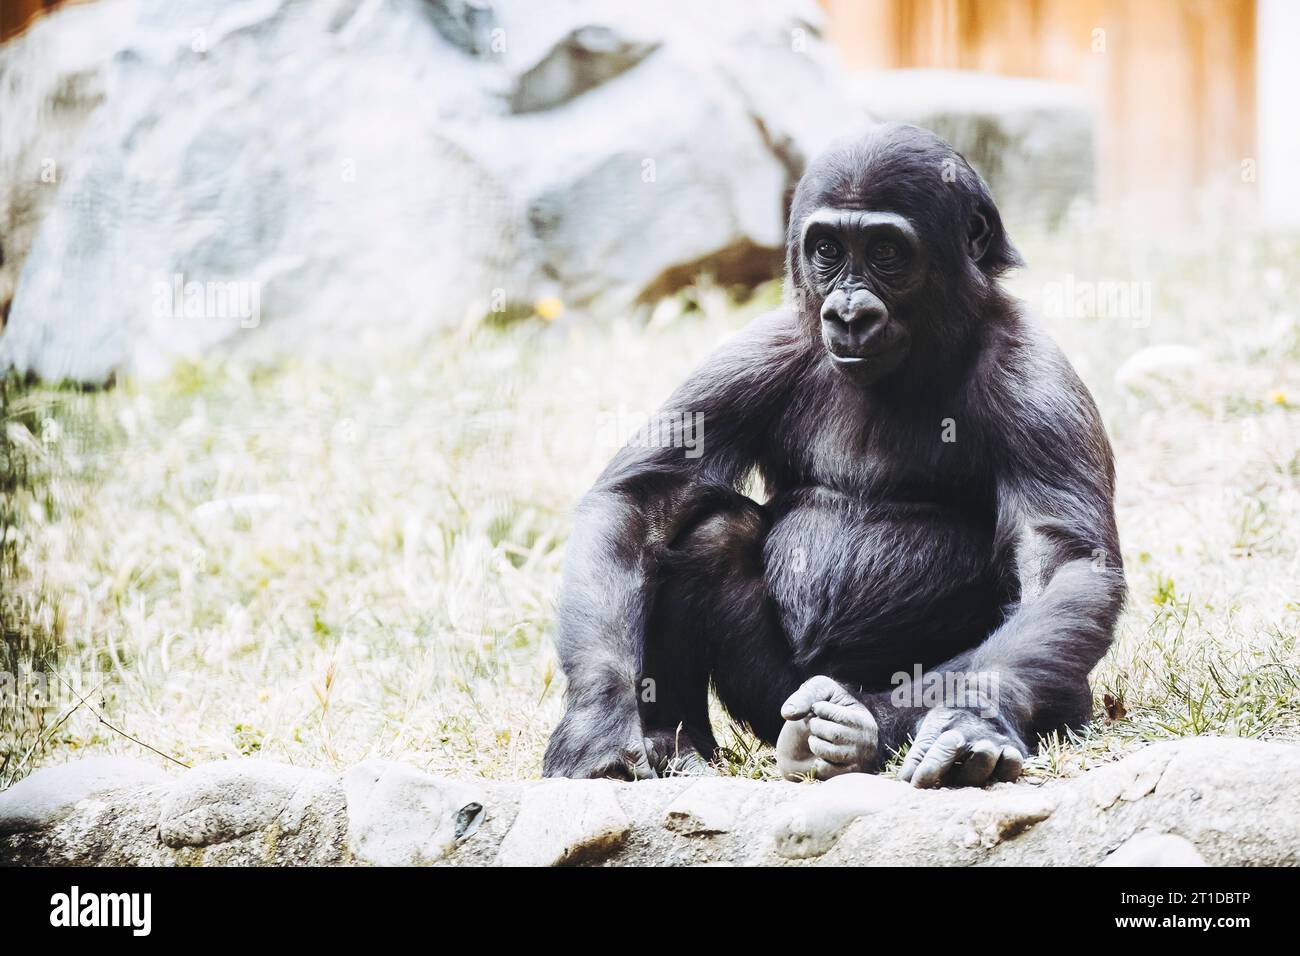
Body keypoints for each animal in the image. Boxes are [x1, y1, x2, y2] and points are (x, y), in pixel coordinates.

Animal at [543, 123, 1124, 788]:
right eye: (827, 249)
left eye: (886, 252)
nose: (849, 311)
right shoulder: (757, 352)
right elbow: (640, 500)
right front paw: (596, 726)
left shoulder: (1036, 382)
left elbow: (1064, 565)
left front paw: (972, 720)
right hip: (772, 696)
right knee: (711, 530)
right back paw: (678, 739)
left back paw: (853, 732)